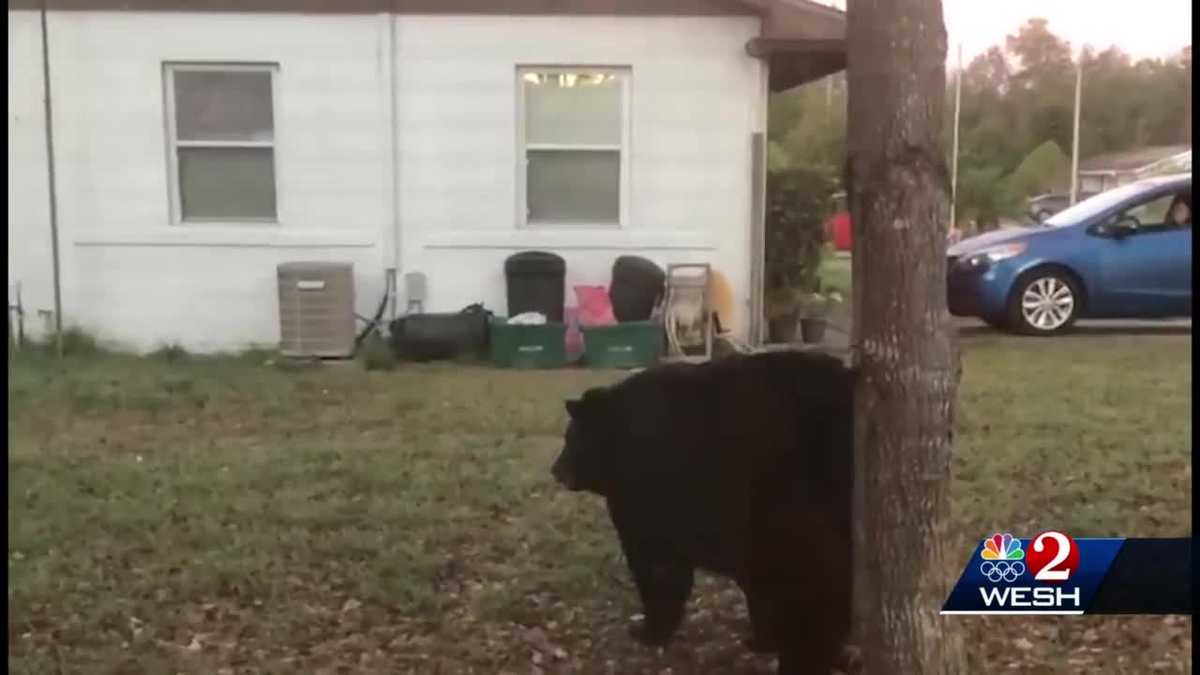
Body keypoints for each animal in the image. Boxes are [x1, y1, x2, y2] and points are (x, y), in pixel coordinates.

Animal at [550, 350, 855, 675]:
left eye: (570, 437)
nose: (555, 470)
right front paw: (763, 638)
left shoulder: (651, 514)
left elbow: (657, 574)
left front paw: (649, 631)